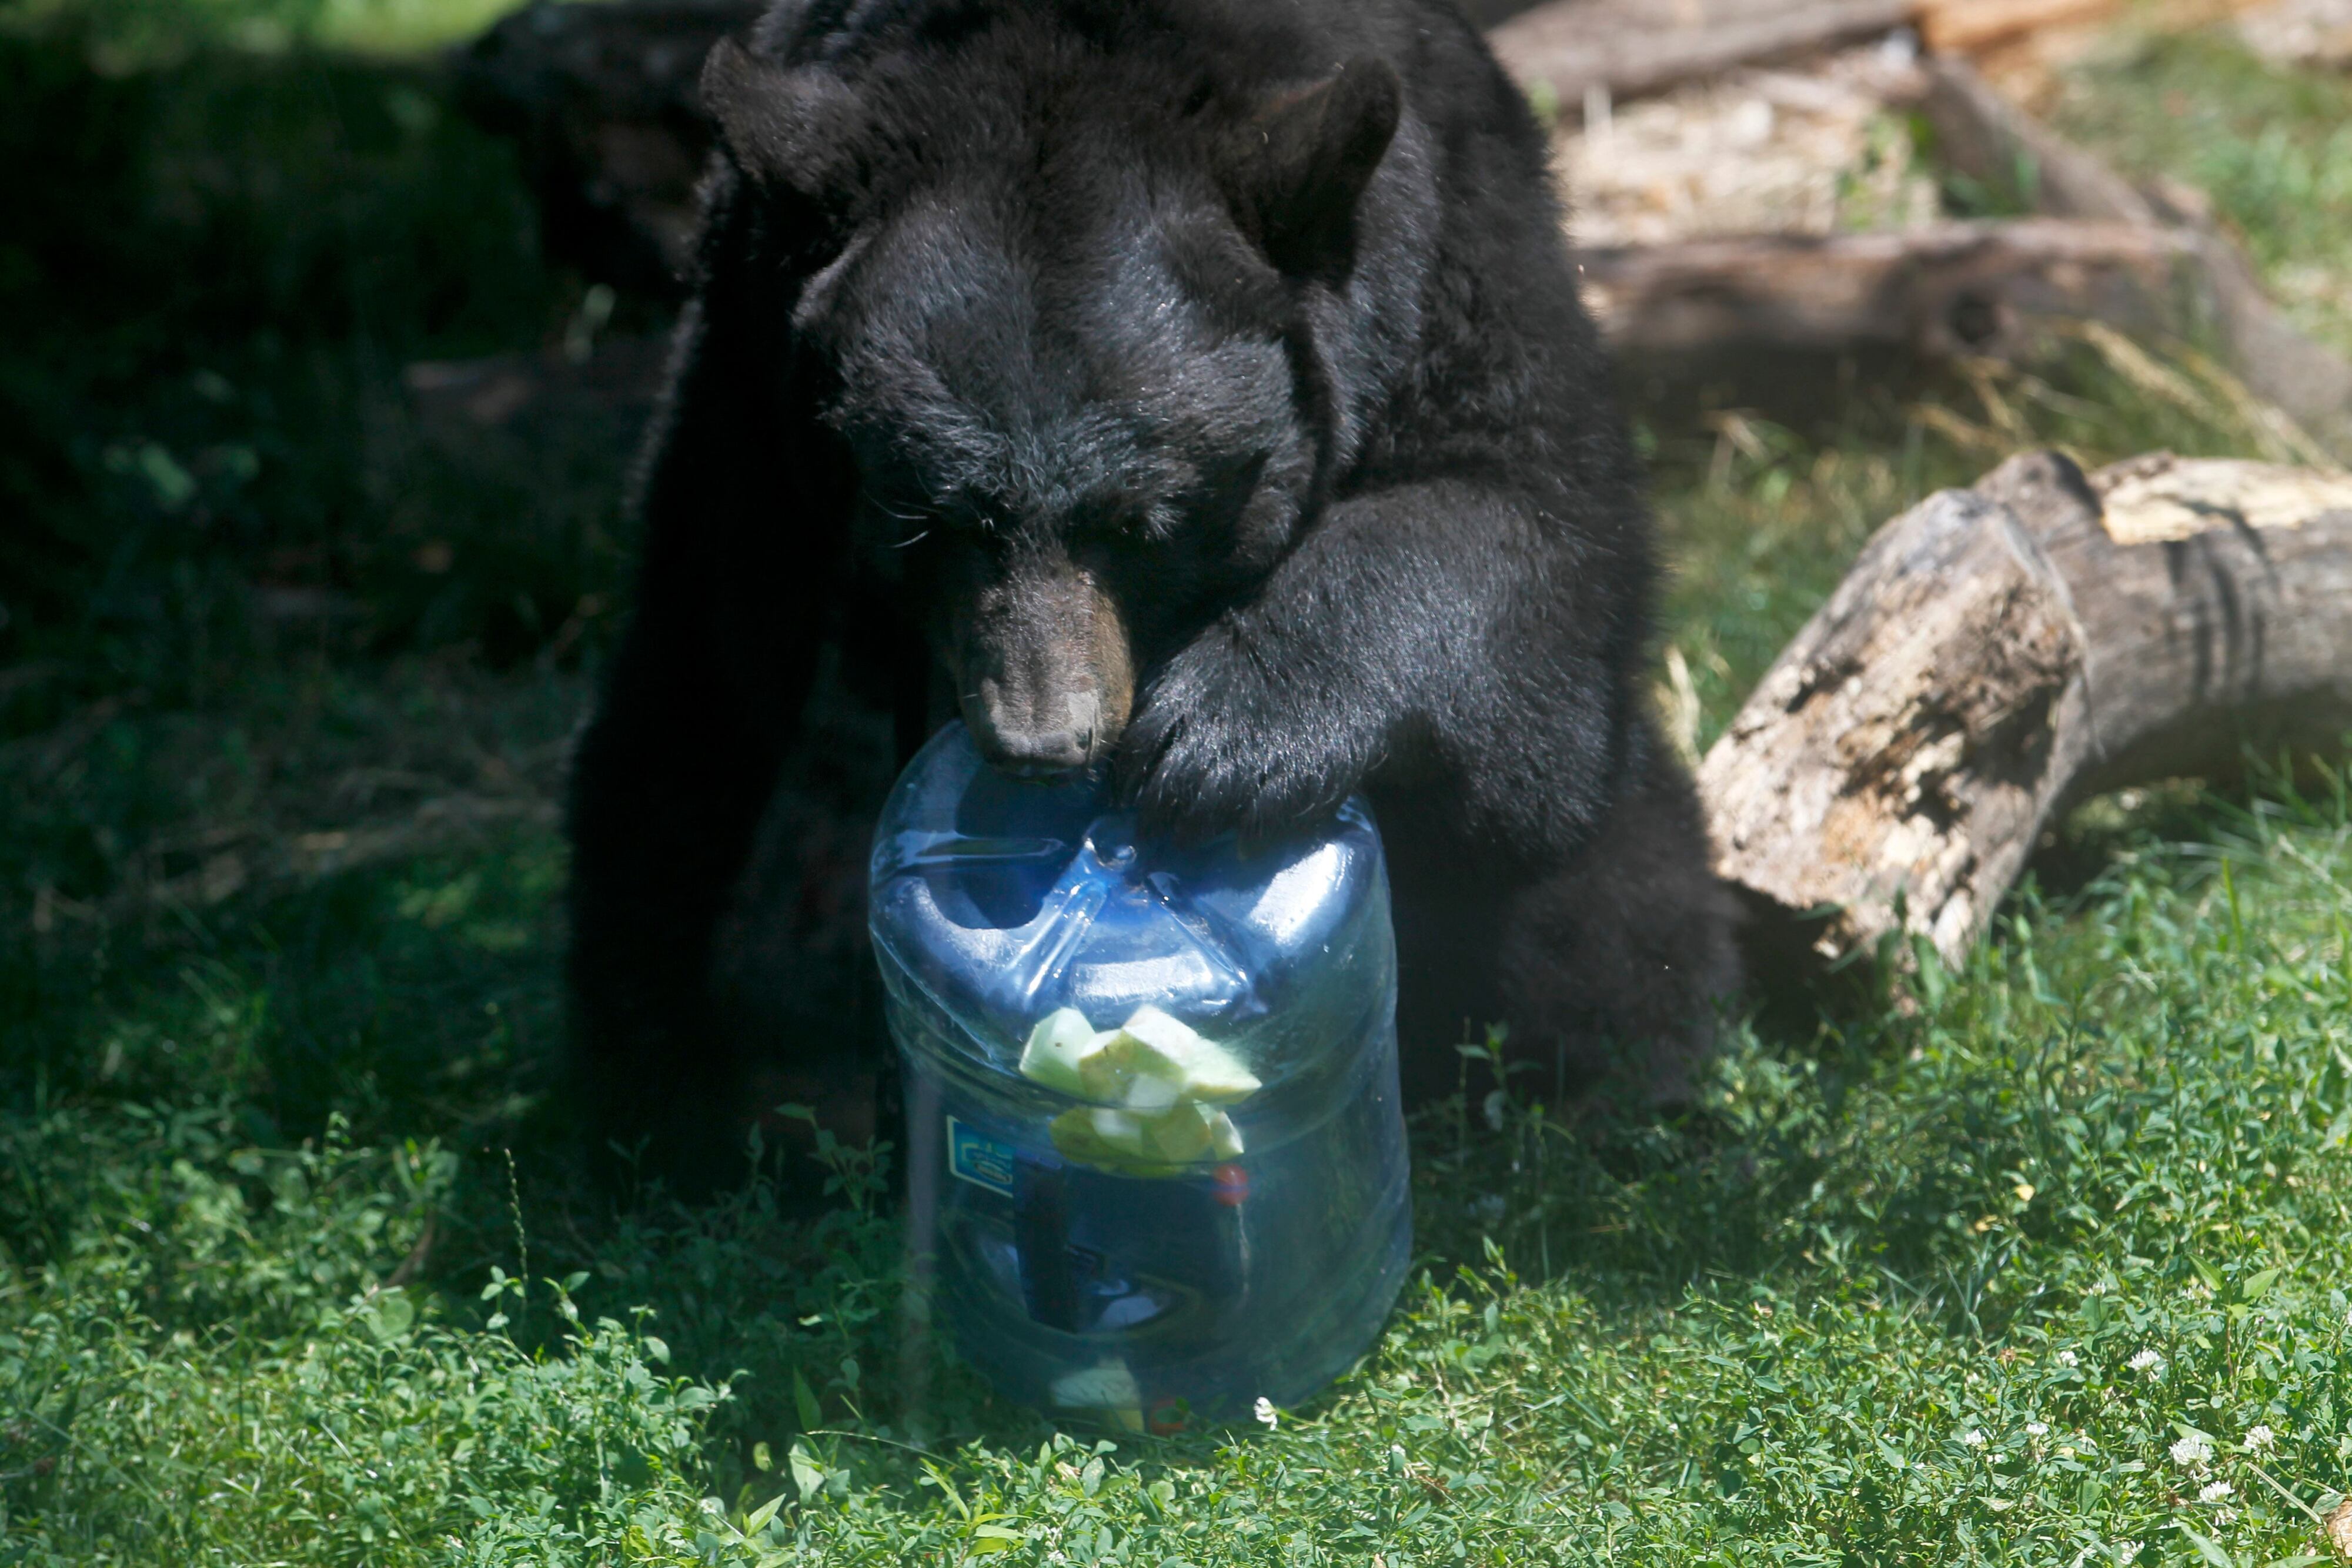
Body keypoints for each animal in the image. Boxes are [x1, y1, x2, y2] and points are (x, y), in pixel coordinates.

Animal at [563, 0, 1743, 1197]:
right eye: (934, 519)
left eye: (1140, 521)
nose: (1048, 738)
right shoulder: (746, 379)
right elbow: (726, 660)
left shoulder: (1453, 233)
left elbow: (1527, 532)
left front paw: (1225, 736)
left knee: (1620, 880)